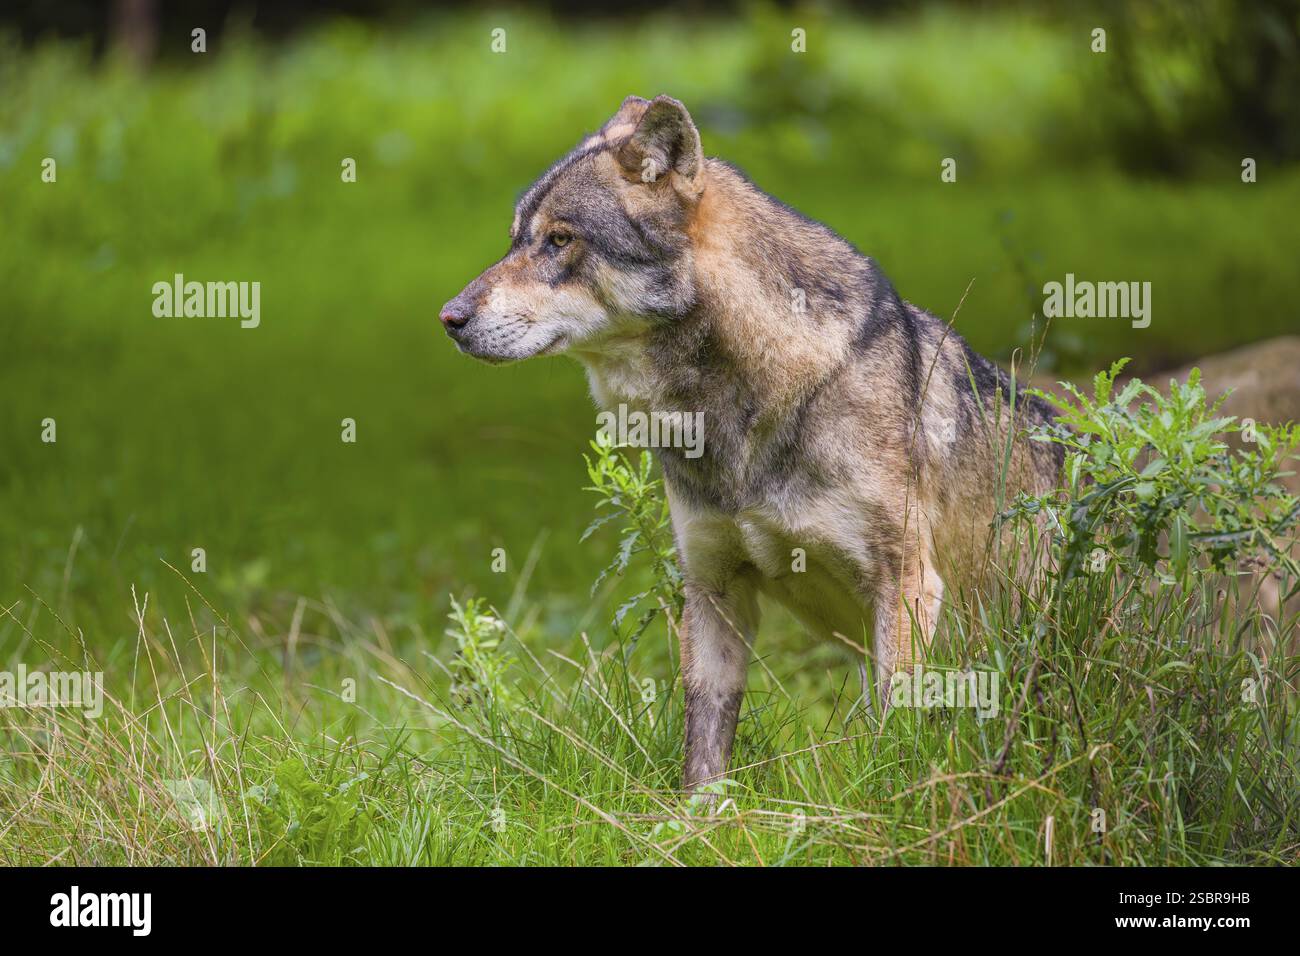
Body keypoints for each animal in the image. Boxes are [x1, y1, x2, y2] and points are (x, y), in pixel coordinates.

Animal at [440, 95, 1062, 790]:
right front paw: (694, 817)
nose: (449, 319)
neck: (742, 410)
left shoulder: (904, 588)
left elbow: (895, 740)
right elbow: (704, 755)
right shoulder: (712, 589)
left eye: (559, 239)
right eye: (517, 238)